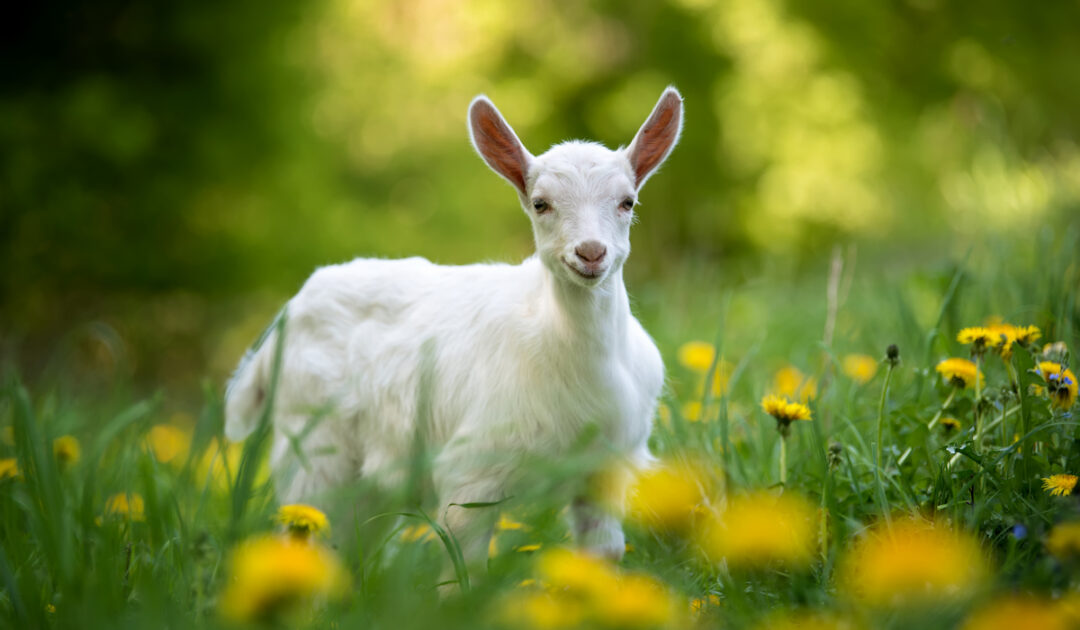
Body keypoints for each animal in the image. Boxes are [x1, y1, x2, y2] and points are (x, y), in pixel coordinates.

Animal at [224, 87, 683, 569]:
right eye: (541, 203)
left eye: (627, 201)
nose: (591, 253)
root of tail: (288, 314)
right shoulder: (472, 470)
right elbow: (467, 568)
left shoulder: (606, 468)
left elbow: (604, 555)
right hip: (311, 444)